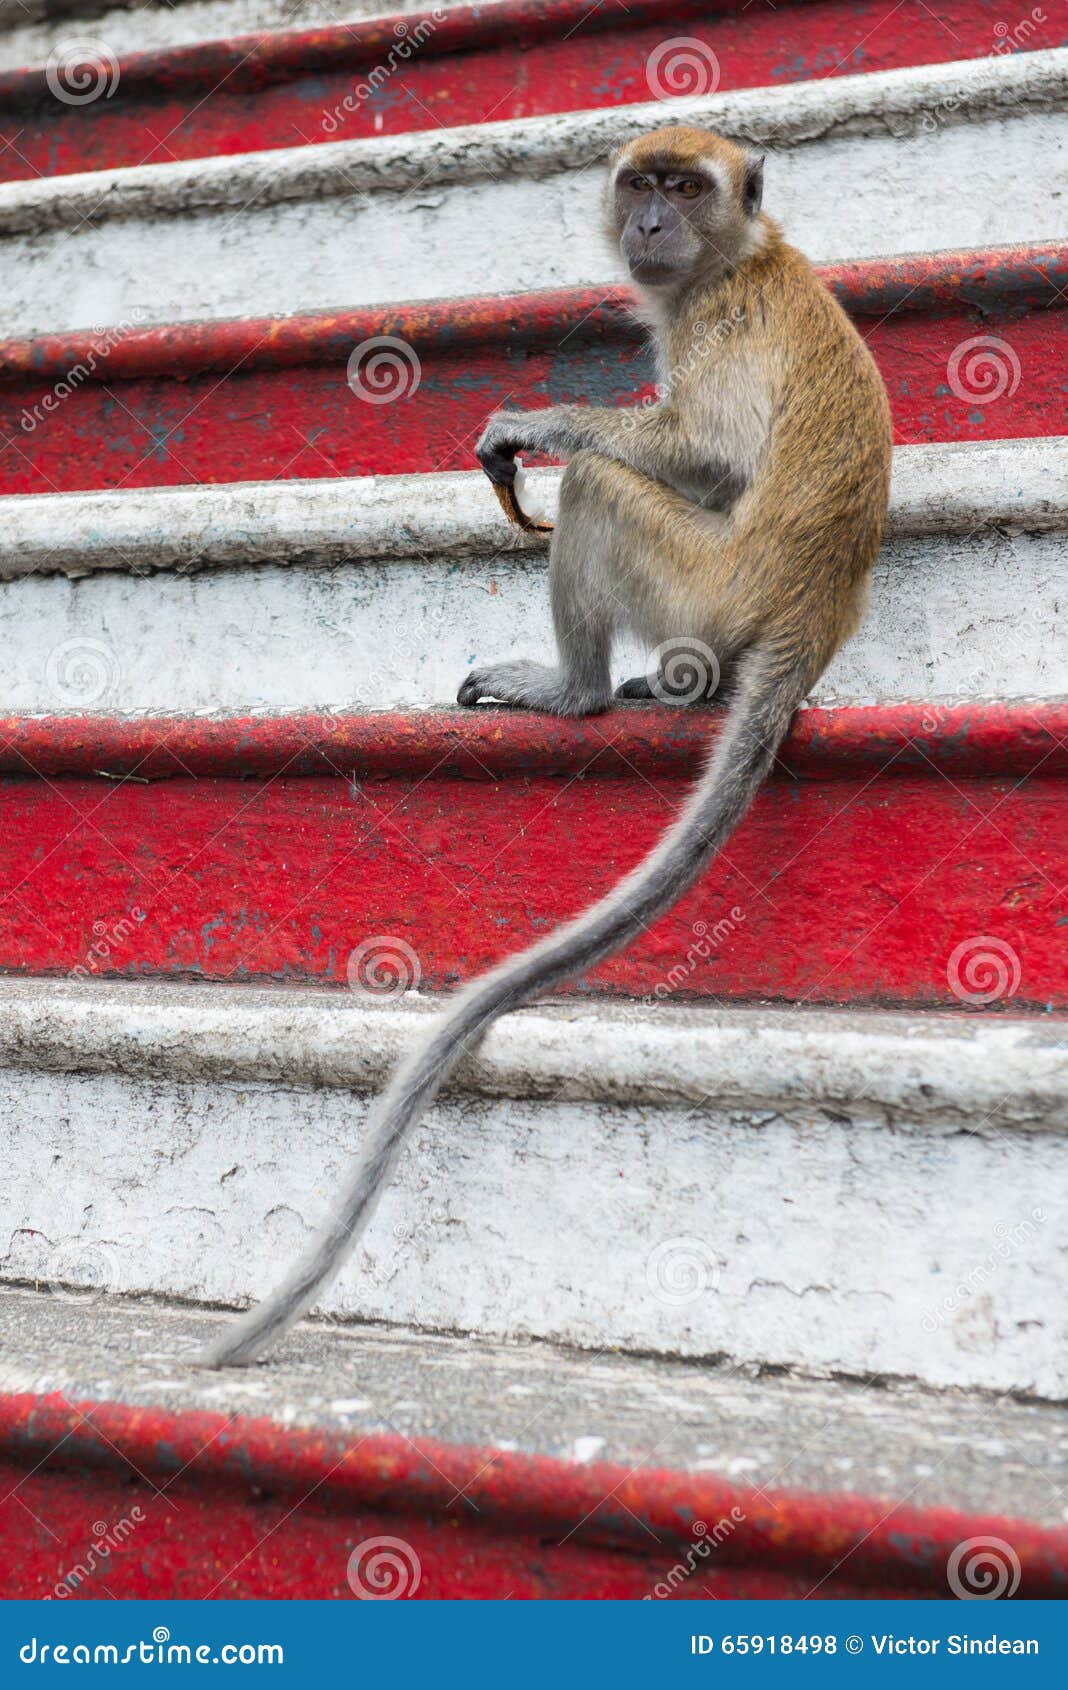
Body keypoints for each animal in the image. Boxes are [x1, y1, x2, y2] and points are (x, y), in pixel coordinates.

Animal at [201, 126, 891, 1367]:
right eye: (643, 184)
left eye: (685, 189)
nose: (652, 224)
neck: (734, 260)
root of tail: (813, 622)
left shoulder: (720, 323)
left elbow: (703, 453)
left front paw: (540, 423)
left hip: (706, 588)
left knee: (608, 491)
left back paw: (571, 692)